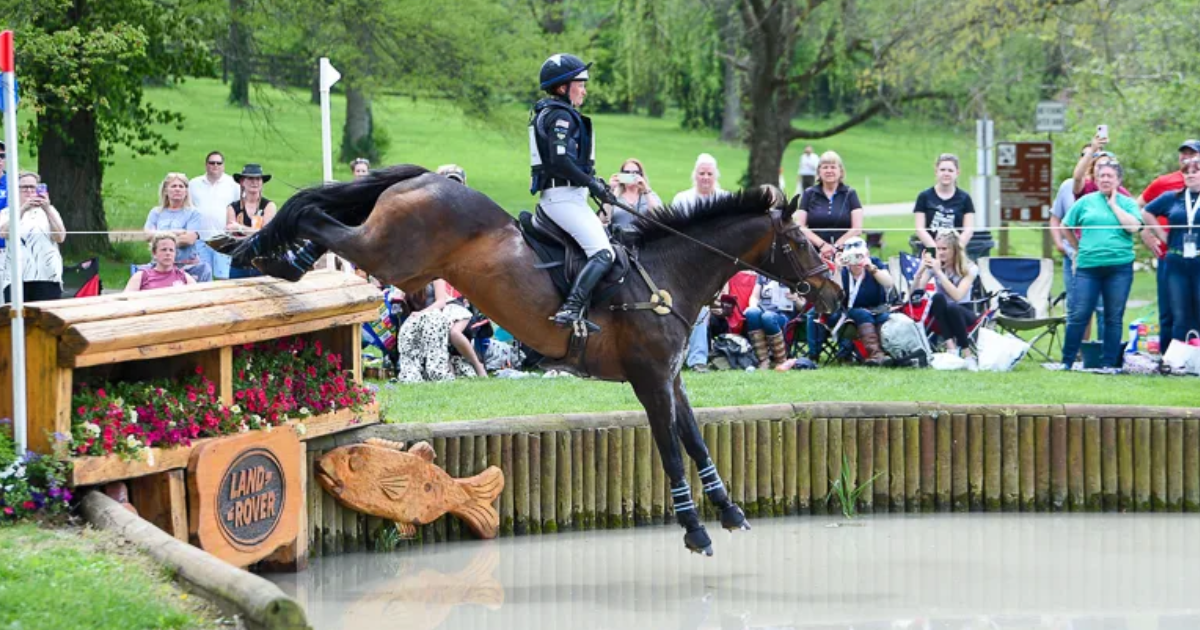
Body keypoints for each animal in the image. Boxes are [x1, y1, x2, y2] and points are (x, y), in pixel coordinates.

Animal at [219, 165, 842, 555]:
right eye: (804, 244)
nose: (834, 294)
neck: (667, 273)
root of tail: (426, 177)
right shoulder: (648, 381)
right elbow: (670, 449)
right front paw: (695, 529)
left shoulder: (671, 379)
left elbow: (696, 441)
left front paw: (729, 512)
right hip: (390, 255)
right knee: (316, 218)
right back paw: (268, 254)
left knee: (321, 217)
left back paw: (275, 258)